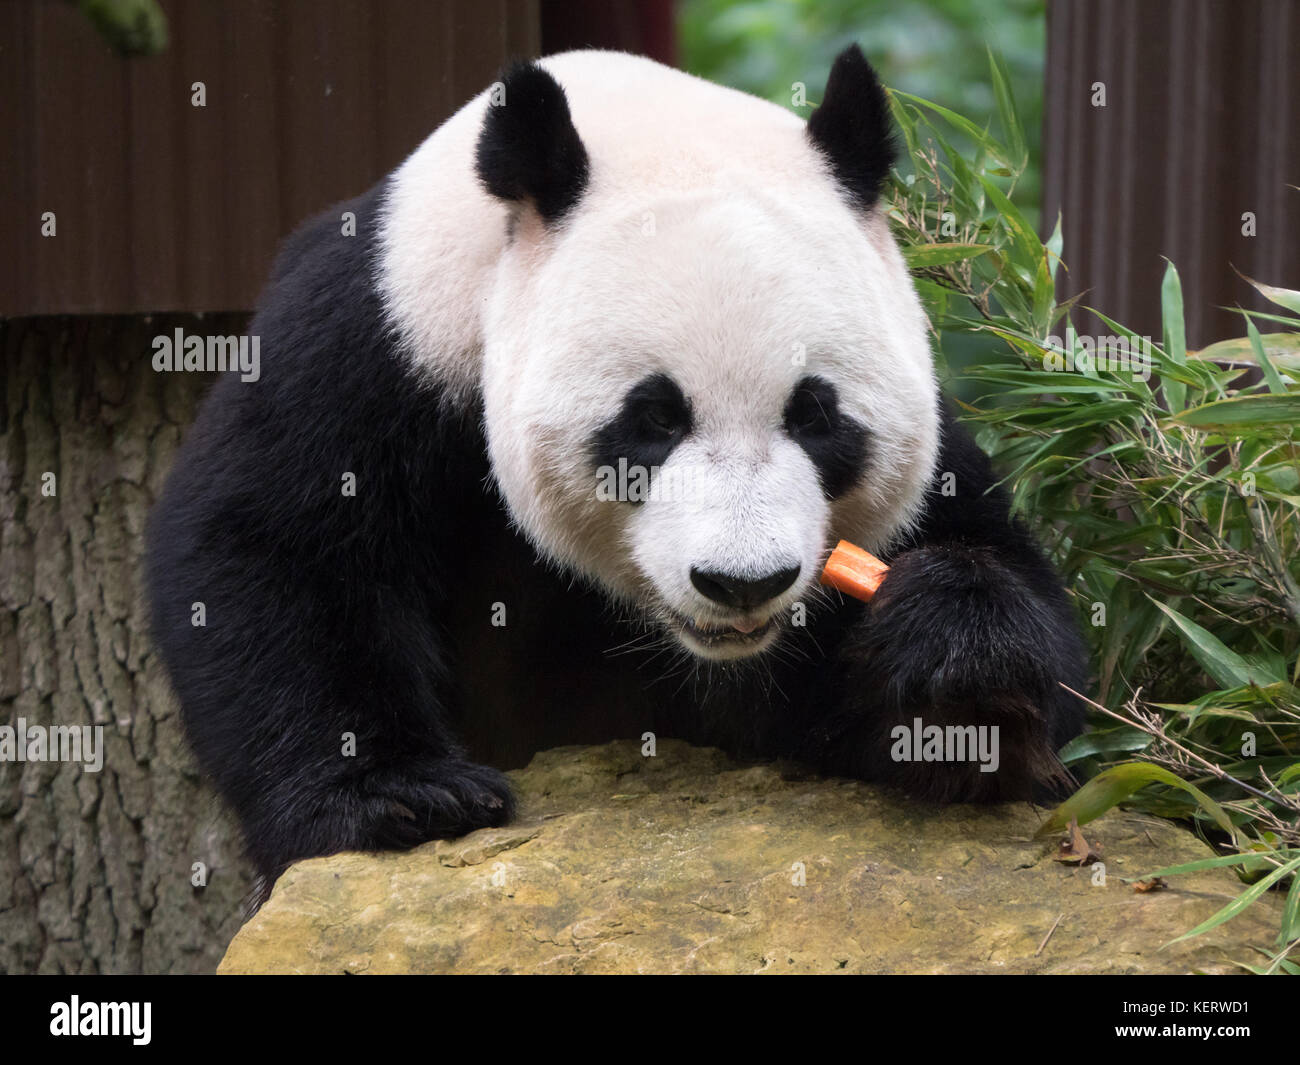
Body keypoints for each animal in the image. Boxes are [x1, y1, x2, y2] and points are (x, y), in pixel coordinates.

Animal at [146, 45, 1088, 890]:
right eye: (655, 418)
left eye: (815, 416)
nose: (743, 582)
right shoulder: (383, 337)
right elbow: (275, 548)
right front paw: (401, 797)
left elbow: (1017, 631)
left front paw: (954, 668)